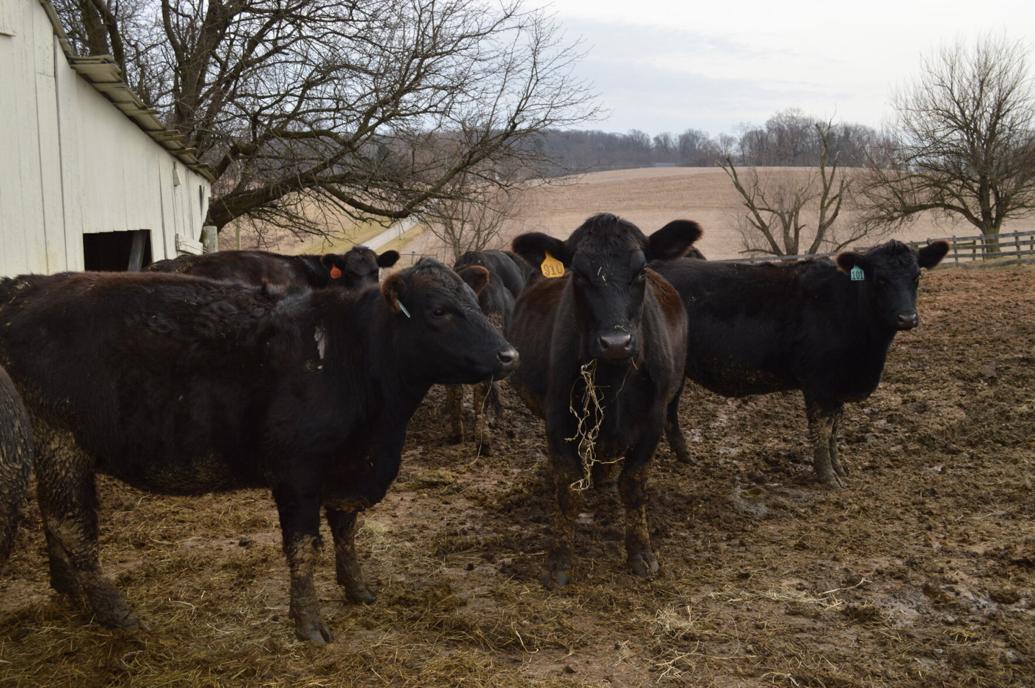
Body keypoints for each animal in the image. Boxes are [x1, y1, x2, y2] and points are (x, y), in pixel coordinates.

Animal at [0, 259, 517, 644]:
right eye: (439, 311)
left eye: (473, 302)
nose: (509, 355)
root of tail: (28, 287)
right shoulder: (297, 473)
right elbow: (303, 547)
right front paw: (308, 623)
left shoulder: (347, 467)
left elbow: (347, 532)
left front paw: (358, 589)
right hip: (60, 441)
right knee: (72, 527)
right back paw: (116, 613)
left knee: (53, 521)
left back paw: (71, 595)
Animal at [507, 214, 701, 588]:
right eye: (579, 274)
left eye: (640, 270)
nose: (615, 342)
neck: (613, 378)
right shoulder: (558, 416)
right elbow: (568, 487)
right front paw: (558, 561)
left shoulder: (653, 418)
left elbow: (634, 484)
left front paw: (641, 553)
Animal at [651, 239, 950, 486]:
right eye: (880, 279)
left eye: (917, 275)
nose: (907, 317)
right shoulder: (818, 382)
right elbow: (821, 427)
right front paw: (828, 478)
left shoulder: (837, 384)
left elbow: (834, 428)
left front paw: (840, 470)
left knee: (670, 412)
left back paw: (687, 458)